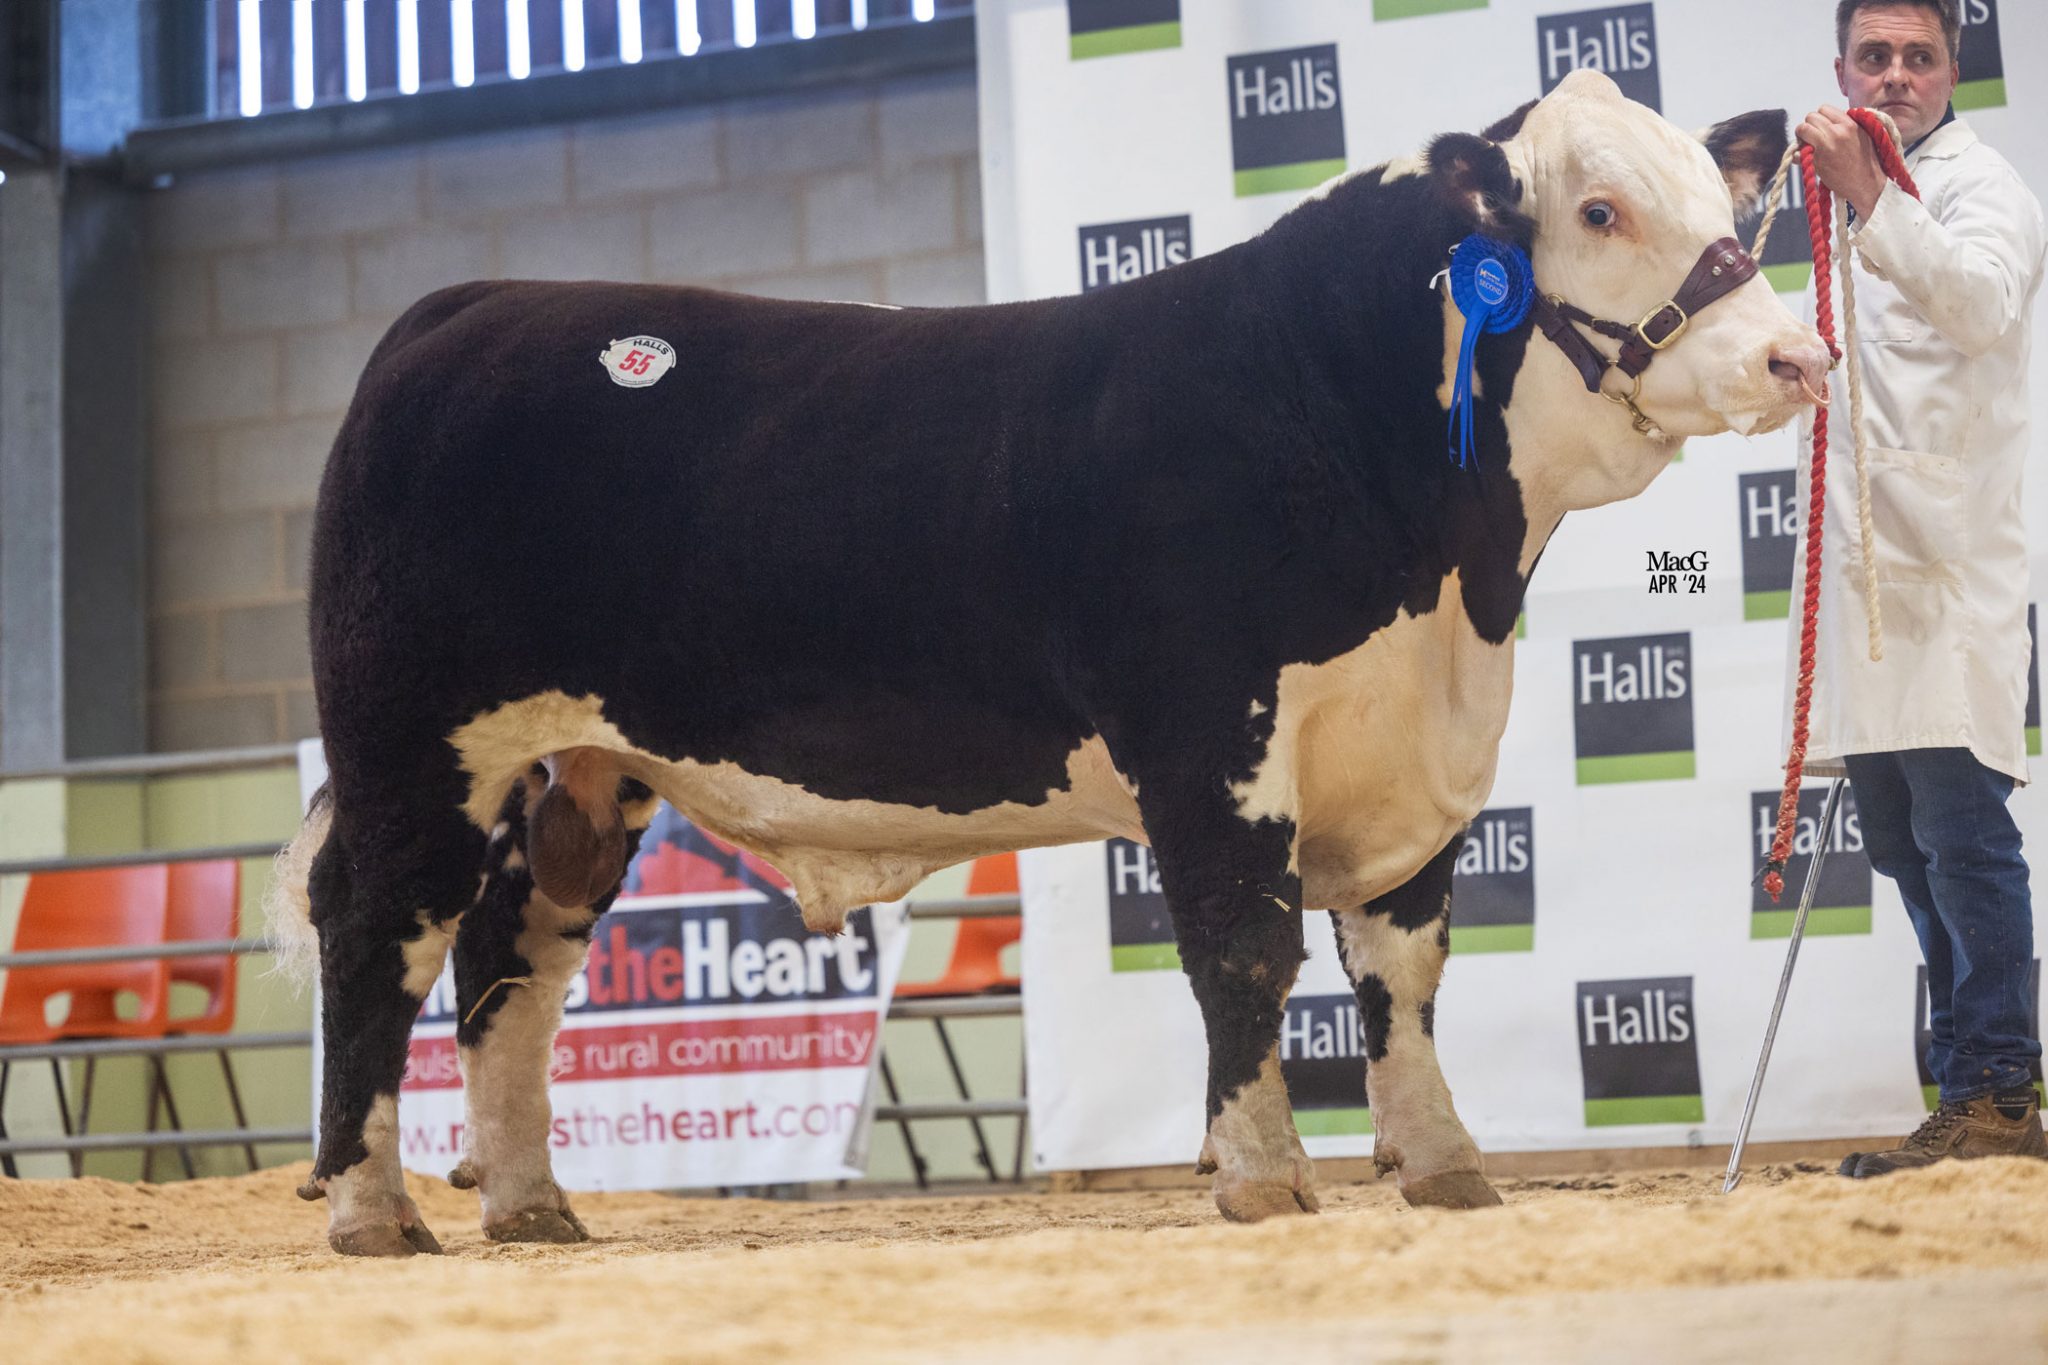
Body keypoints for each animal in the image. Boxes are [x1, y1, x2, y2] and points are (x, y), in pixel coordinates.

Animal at [270, 70, 1828, 1256]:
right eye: (1599, 210)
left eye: (1723, 202)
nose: (1797, 360)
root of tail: (466, 307)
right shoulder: (1209, 738)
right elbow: (1246, 947)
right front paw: (1263, 1177)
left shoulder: (1414, 760)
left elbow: (1402, 962)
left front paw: (1445, 1167)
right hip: (415, 743)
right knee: (380, 938)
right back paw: (372, 1212)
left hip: (578, 768)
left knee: (509, 958)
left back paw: (531, 1208)